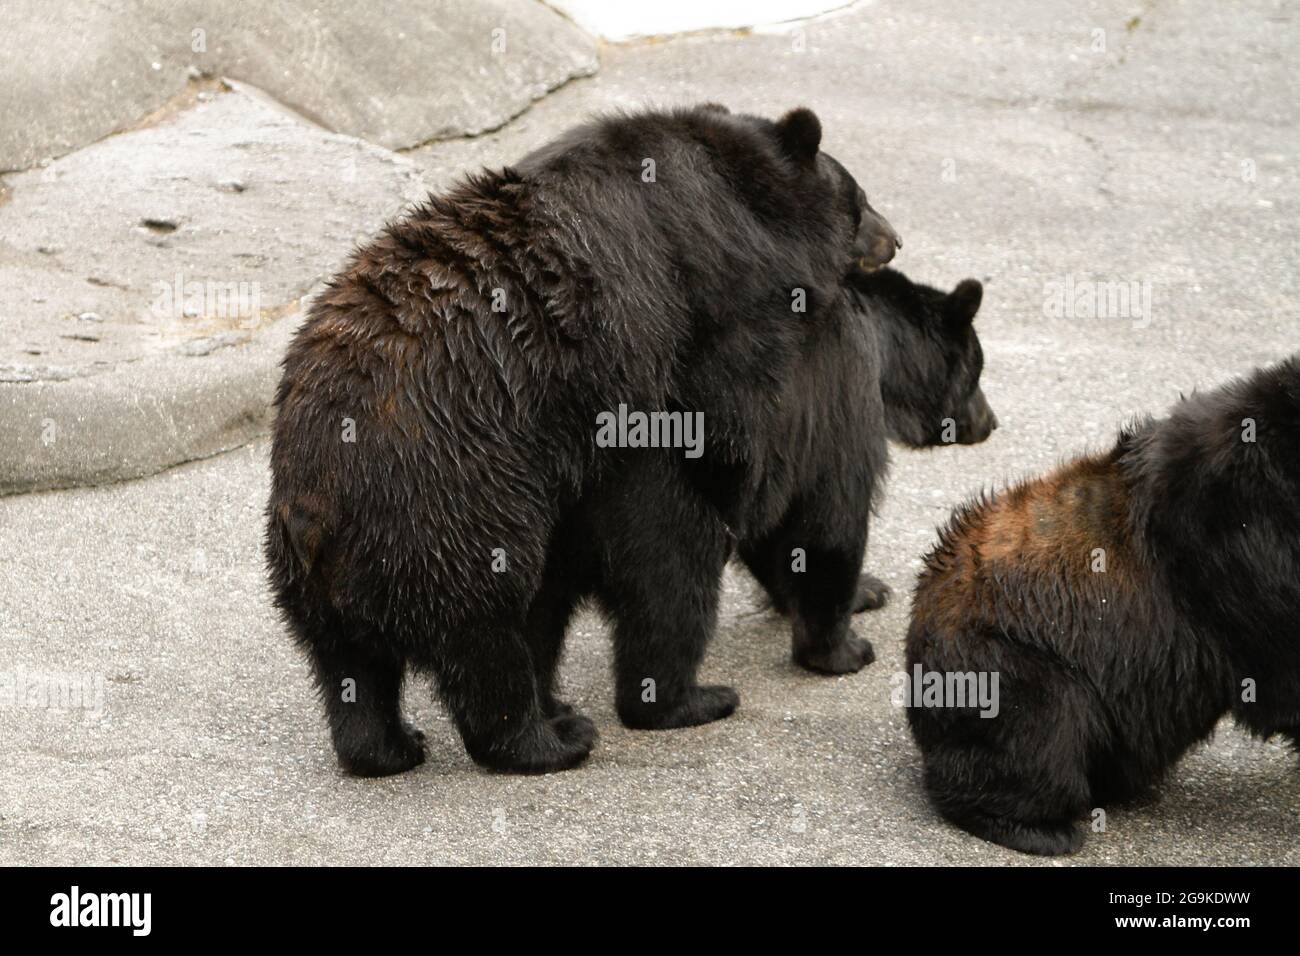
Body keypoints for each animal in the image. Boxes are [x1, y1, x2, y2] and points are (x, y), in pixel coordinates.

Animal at [265, 103, 901, 776]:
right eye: (861, 198)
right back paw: (559, 735)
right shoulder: (706, 284)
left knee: (351, 666)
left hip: (315, 570)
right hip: (455, 502)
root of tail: (320, 498)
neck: (752, 202)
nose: (894, 238)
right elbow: (729, 412)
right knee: (491, 633)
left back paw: (389, 746)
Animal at [736, 266, 997, 675]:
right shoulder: (839, 388)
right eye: (979, 372)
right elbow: (831, 511)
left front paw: (866, 589)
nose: (992, 421)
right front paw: (840, 650)